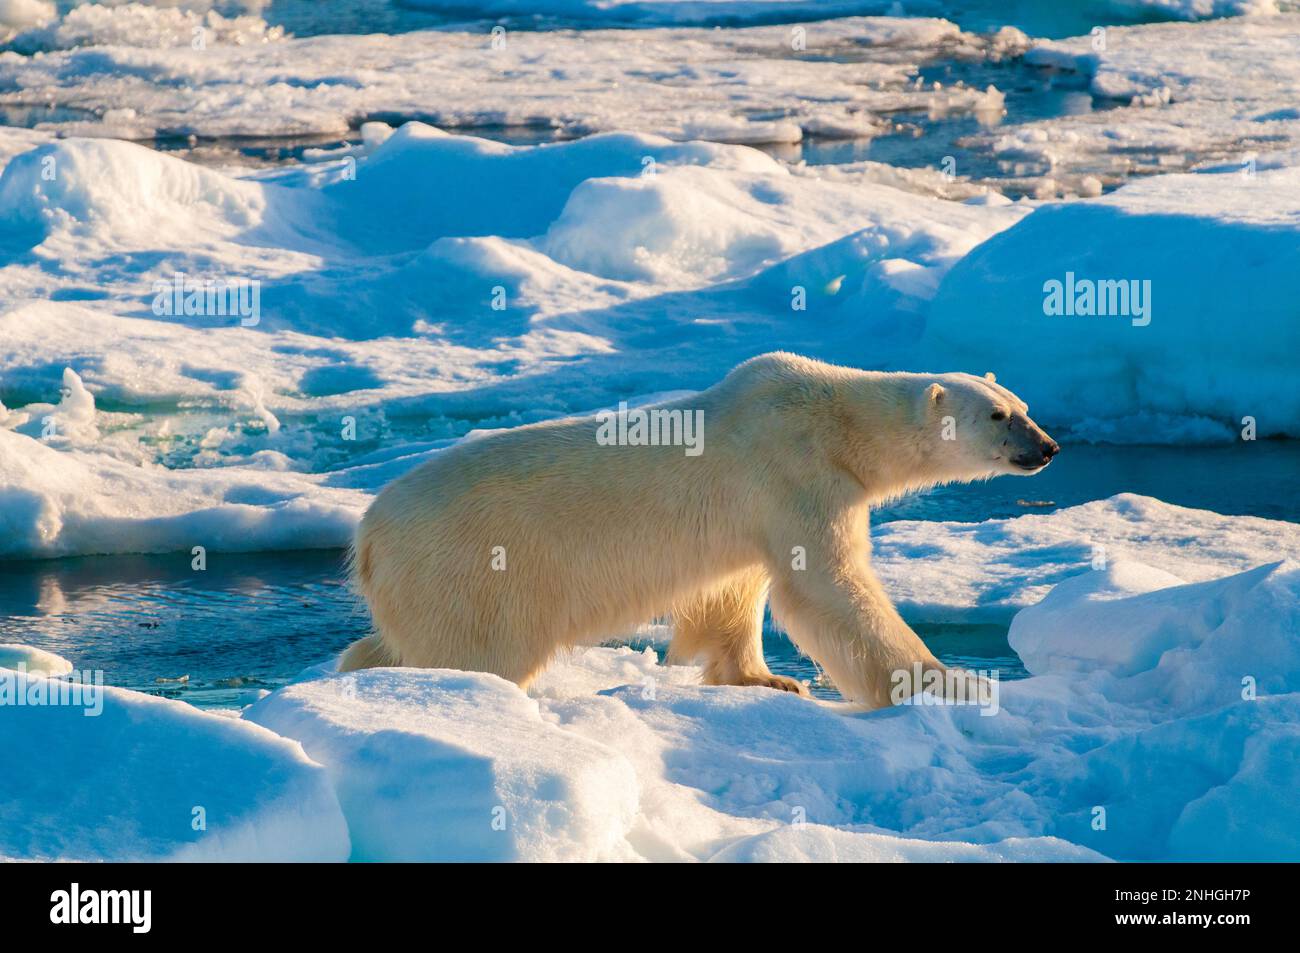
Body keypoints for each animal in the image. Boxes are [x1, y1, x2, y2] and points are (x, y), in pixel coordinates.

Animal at [341, 352, 1058, 708]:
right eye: (997, 416)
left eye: (1024, 405)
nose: (1047, 448)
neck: (837, 422)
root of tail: (368, 536)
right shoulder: (797, 472)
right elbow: (830, 586)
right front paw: (944, 683)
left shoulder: (751, 513)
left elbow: (735, 592)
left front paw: (767, 680)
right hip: (470, 567)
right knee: (474, 648)